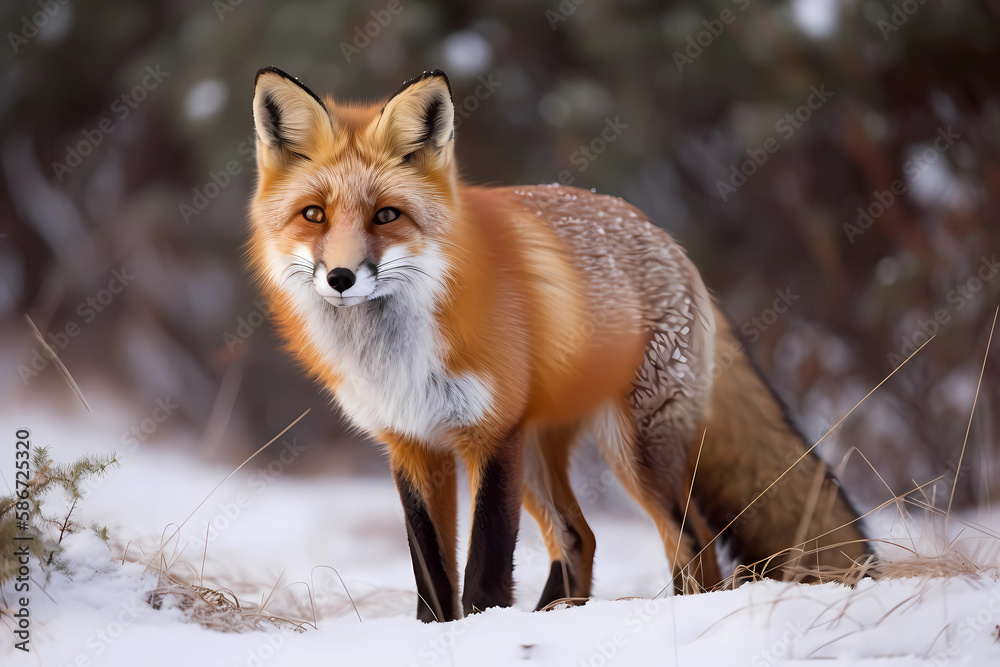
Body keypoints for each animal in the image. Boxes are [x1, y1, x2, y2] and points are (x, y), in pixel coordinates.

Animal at [246, 67, 871, 622]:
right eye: (313, 215)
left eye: (386, 215)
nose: (340, 278)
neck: (397, 355)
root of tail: (668, 240)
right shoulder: (412, 445)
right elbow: (432, 579)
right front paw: (440, 635)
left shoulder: (491, 435)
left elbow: (484, 569)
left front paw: (486, 630)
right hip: (541, 453)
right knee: (580, 538)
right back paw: (552, 617)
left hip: (634, 452)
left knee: (693, 542)